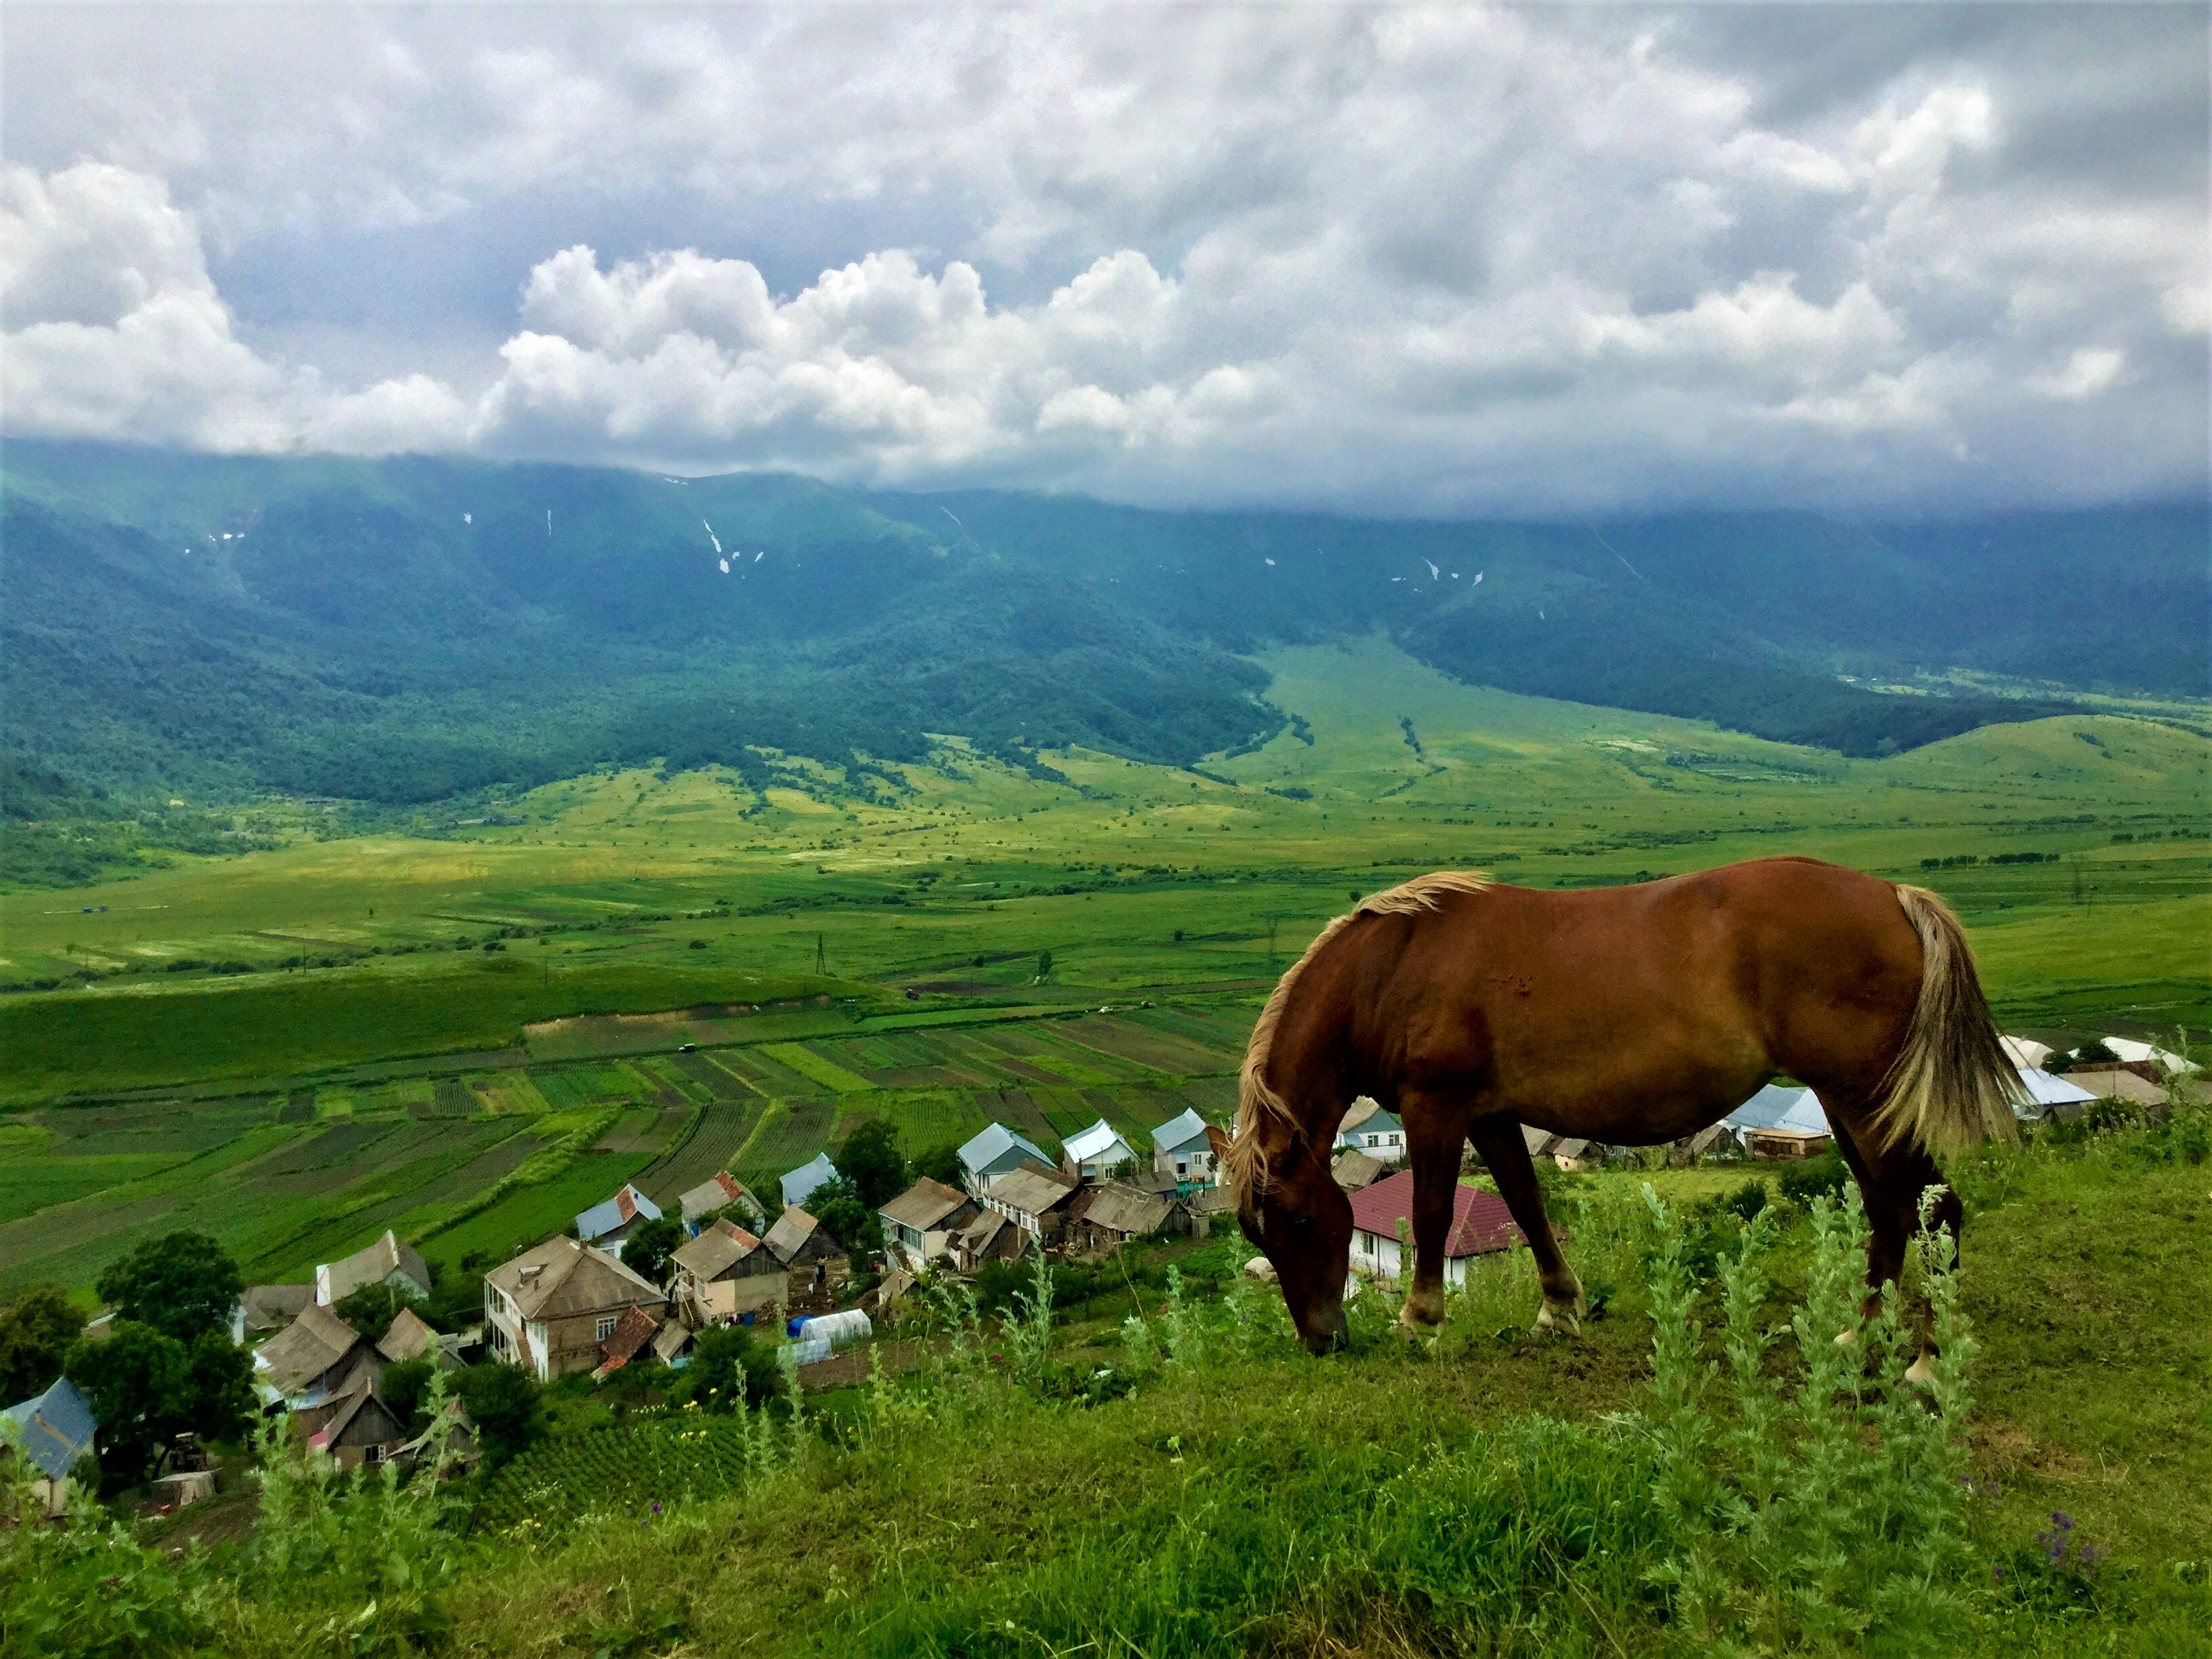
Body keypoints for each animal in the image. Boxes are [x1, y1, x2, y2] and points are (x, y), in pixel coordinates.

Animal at [1210, 856, 2021, 1367]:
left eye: (1301, 1222)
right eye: (1258, 1232)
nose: (1322, 1340)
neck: (1390, 966)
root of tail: (1895, 897)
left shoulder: (1436, 1107)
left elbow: (1435, 1215)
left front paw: (1420, 1321)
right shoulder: (1491, 1114)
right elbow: (1526, 1203)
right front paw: (1558, 1309)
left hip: (1865, 1095)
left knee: (1934, 1208)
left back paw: (1925, 1365)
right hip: (1846, 1100)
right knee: (1890, 1207)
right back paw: (1863, 1339)